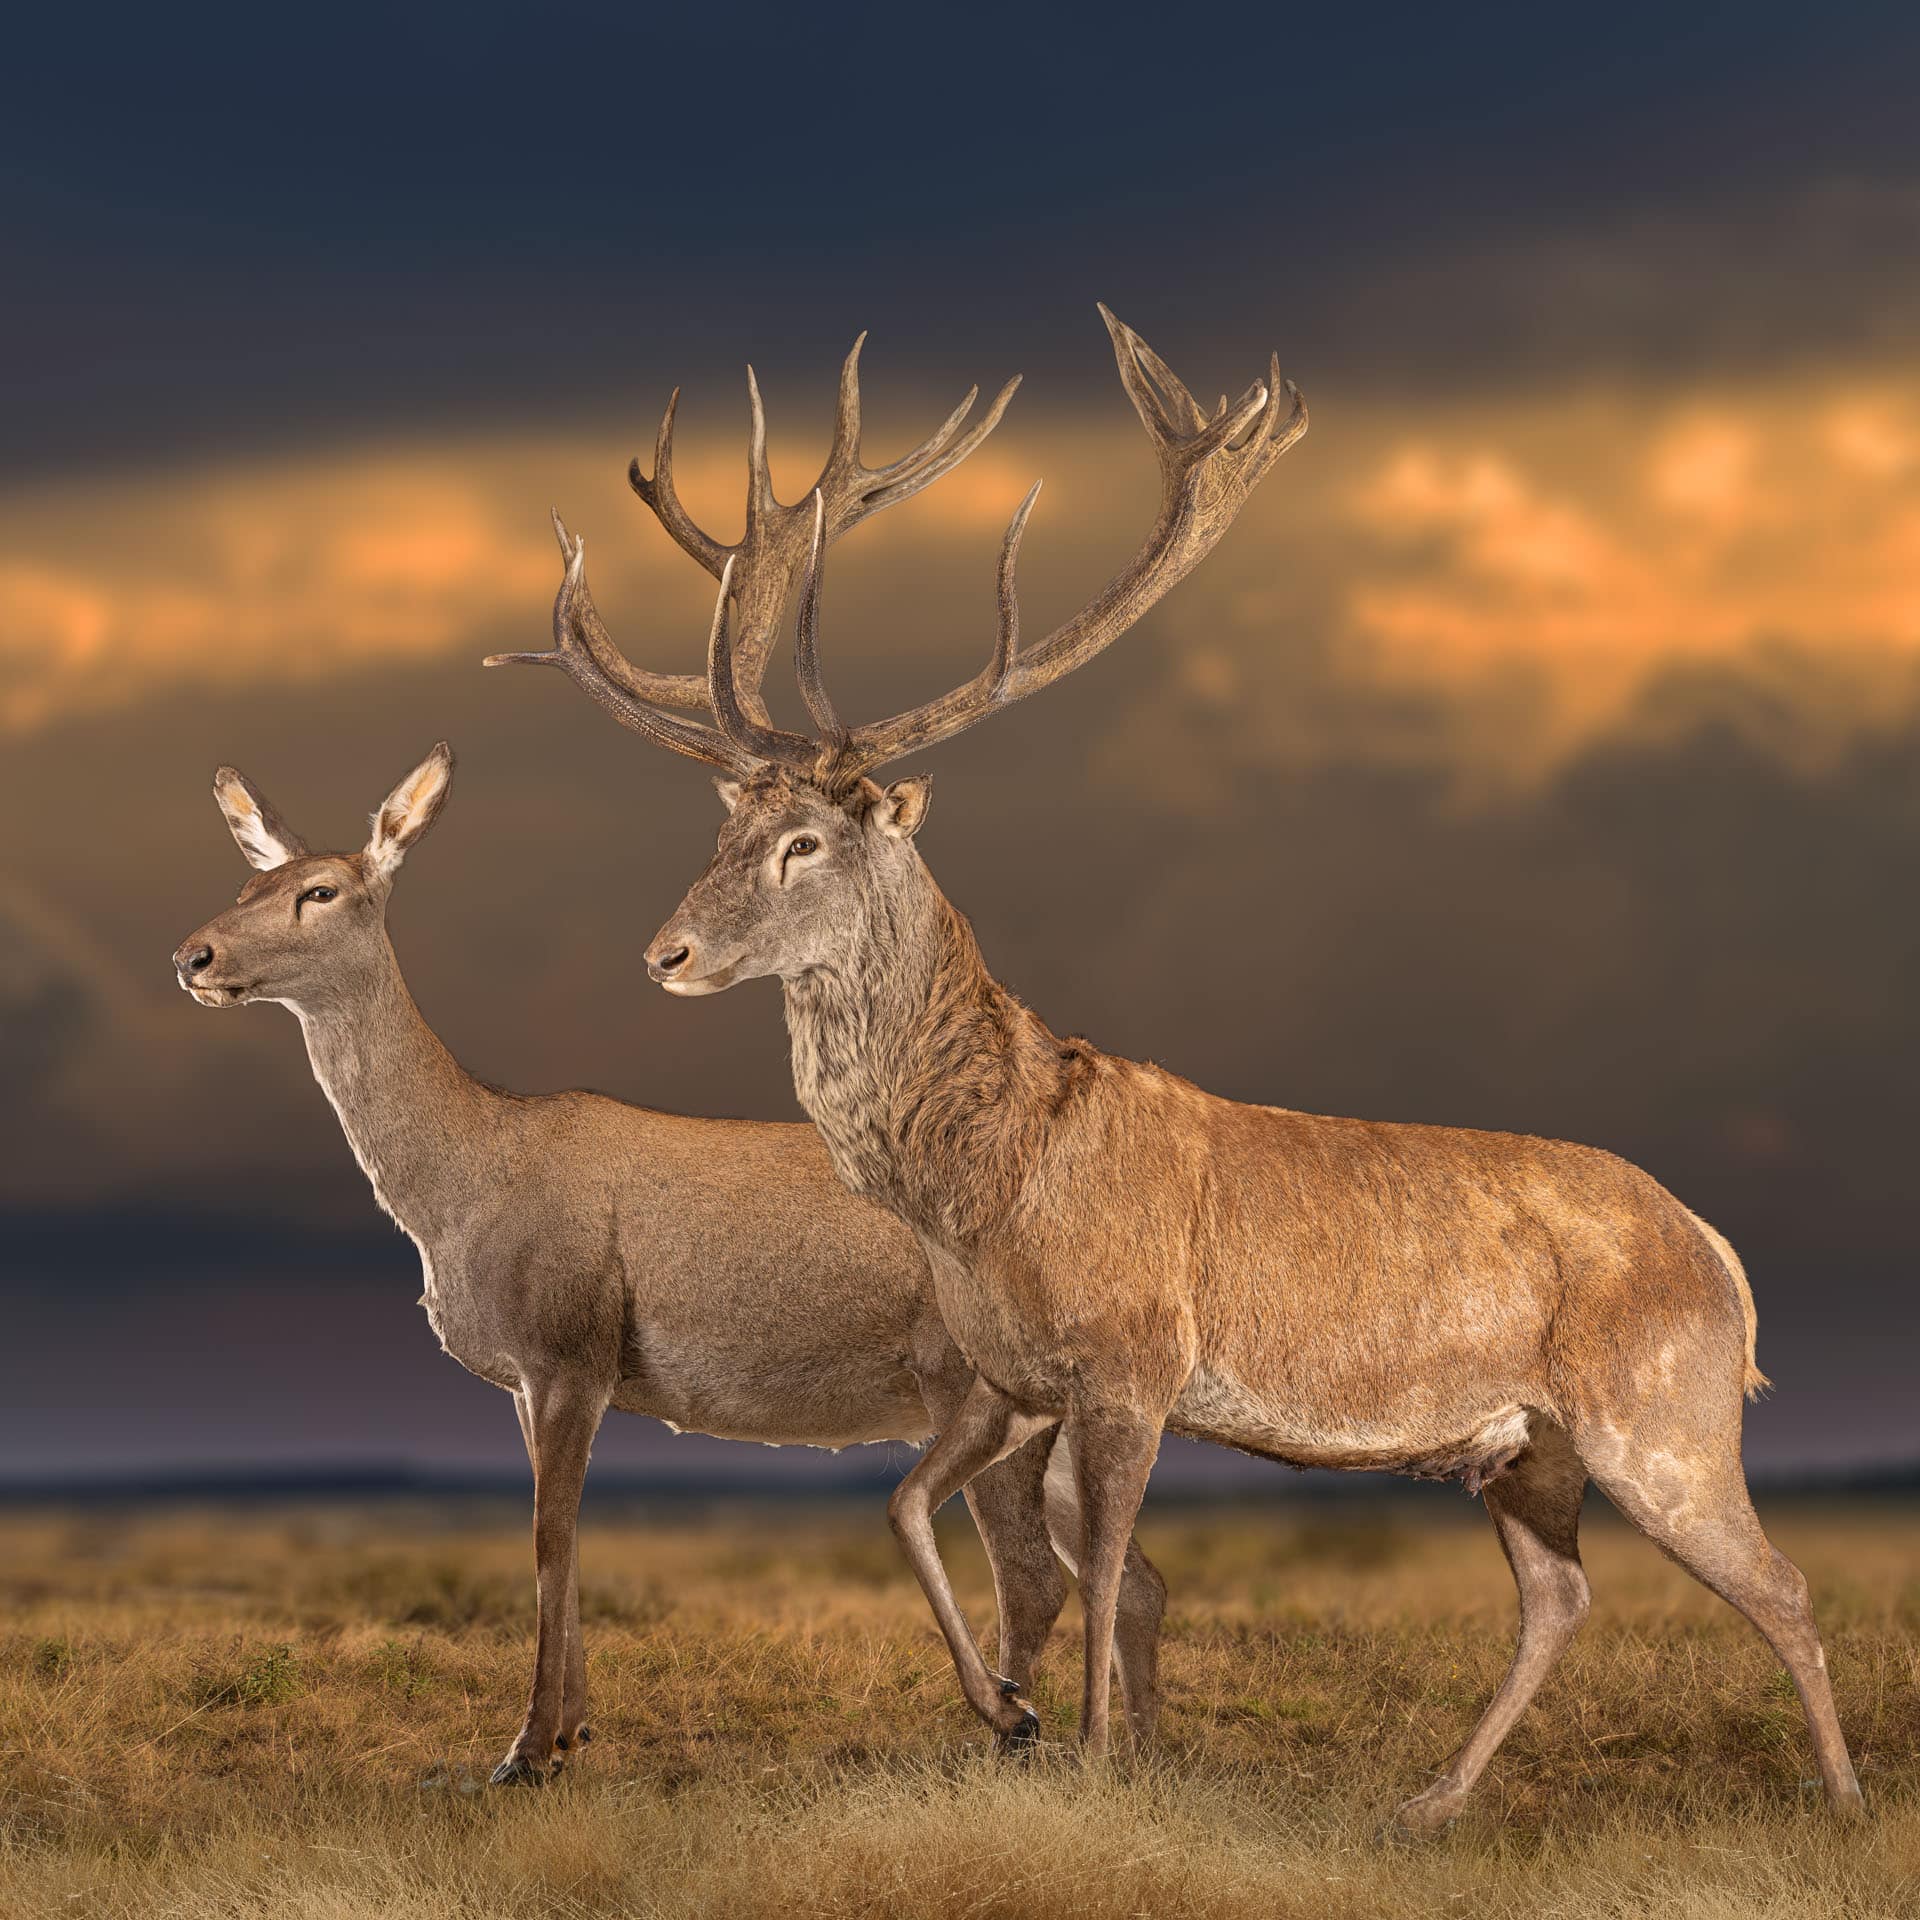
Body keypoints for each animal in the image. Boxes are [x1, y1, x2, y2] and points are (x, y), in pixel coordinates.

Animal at [169, 738, 1170, 1785]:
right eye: (249, 879)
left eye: (318, 890)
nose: (193, 955)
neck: (462, 1177)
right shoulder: (526, 1379)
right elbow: (561, 1542)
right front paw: (570, 1732)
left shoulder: (570, 1349)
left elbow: (550, 1542)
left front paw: (527, 1751)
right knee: (1135, 1575)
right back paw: (1135, 1753)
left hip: (970, 1384)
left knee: (1032, 1575)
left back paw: (1015, 1723)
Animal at [490, 305, 1865, 1830]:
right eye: (726, 828)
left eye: (806, 843)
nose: (664, 952)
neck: (986, 1187)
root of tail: (1722, 1256)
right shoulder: (1012, 1377)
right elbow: (913, 1512)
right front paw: (1010, 1714)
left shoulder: (1138, 1363)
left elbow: (1105, 1579)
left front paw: (1096, 1755)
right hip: (1524, 1448)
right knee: (1561, 1595)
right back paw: (1431, 1800)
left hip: (1662, 1415)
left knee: (1784, 1586)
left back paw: (1843, 1801)